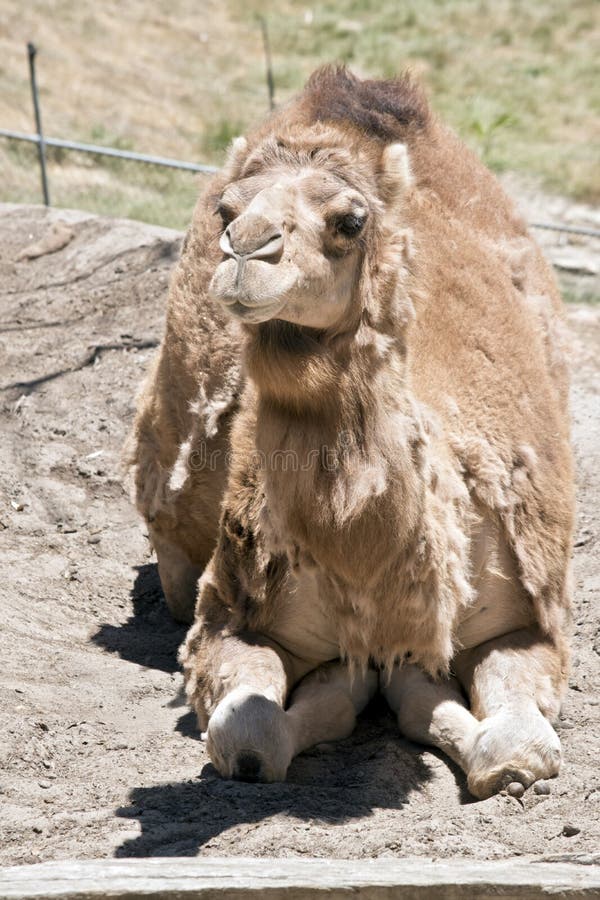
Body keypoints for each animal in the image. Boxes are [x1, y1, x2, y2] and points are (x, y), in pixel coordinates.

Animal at [130, 67, 574, 799]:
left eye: (351, 220)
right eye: (227, 210)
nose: (247, 248)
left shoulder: (524, 623)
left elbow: (519, 749)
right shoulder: (230, 612)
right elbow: (251, 737)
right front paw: (350, 684)